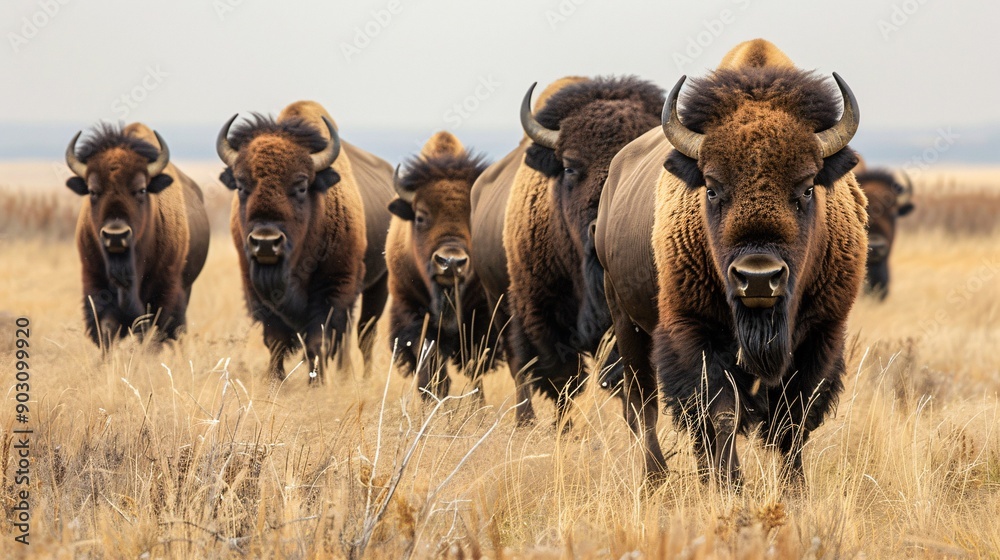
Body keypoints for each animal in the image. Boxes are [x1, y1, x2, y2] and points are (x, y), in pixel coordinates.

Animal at [65, 123, 209, 347]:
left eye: (141, 190)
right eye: (93, 191)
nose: (116, 235)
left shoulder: (163, 292)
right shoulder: (95, 285)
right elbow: (106, 329)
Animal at [216, 101, 392, 383]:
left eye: (300, 186)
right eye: (241, 185)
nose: (266, 243)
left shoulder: (333, 287)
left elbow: (318, 340)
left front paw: (316, 384)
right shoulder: (255, 289)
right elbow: (275, 339)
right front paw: (275, 381)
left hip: (379, 283)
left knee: (365, 334)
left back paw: (361, 379)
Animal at [385, 131, 499, 400]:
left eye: (474, 217)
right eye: (420, 216)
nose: (451, 262)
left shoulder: (480, 319)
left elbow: (473, 368)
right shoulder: (413, 315)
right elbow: (432, 366)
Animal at [596, 39, 867, 485]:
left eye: (807, 187)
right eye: (711, 188)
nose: (758, 278)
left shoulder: (822, 334)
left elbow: (794, 418)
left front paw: (795, 490)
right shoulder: (694, 333)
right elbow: (721, 413)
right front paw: (731, 488)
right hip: (625, 320)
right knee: (643, 409)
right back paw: (657, 482)